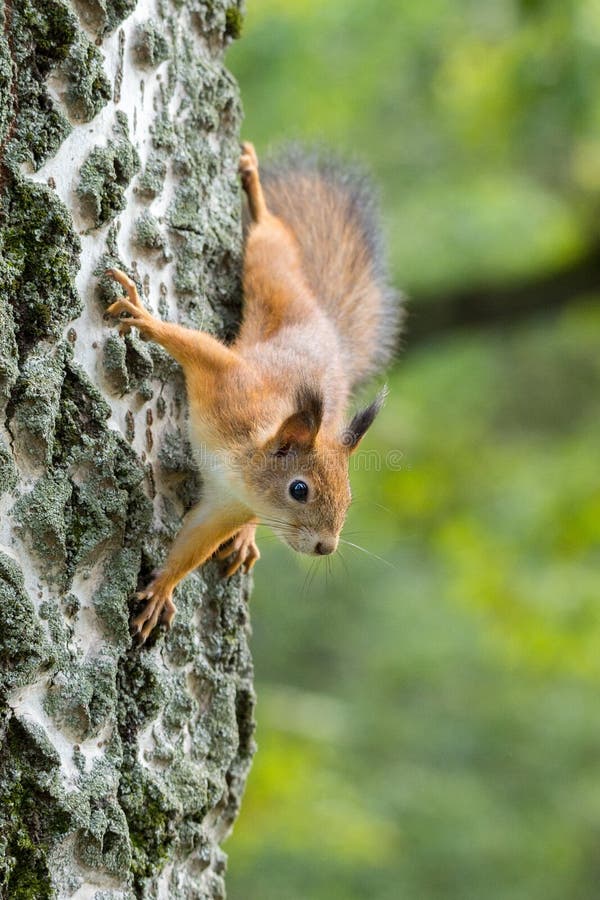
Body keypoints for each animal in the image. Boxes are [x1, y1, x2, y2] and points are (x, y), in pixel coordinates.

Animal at [104, 142, 401, 642]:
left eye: (348, 497)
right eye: (299, 489)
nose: (326, 547)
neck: (241, 466)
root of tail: (329, 334)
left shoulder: (227, 505)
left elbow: (194, 545)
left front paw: (163, 588)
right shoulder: (227, 380)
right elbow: (192, 344)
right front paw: (143, 317)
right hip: (275, 278)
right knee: (270, 237)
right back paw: (256, 189)